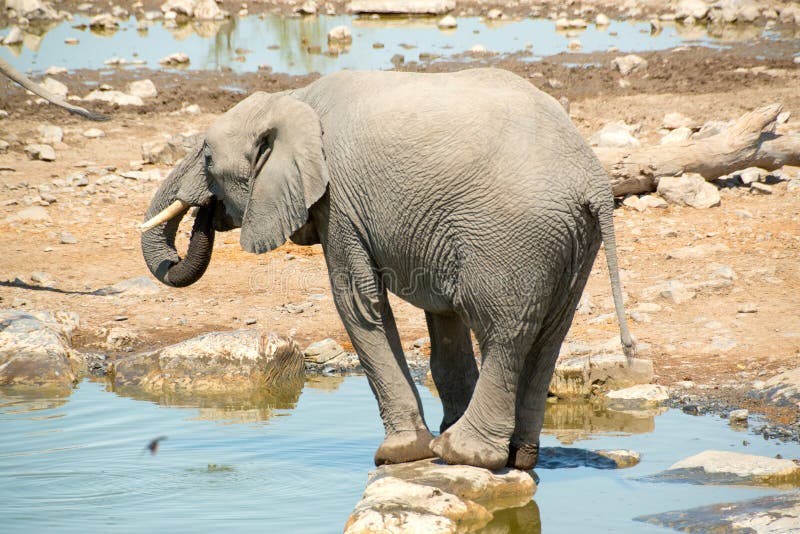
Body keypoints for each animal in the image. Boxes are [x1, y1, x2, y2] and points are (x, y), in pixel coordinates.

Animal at [140, 68, 636, 471]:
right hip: (572, 240)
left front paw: (399, 455)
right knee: (549, 333)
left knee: (505, 332)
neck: (294, 99)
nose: (204, 213)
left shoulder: (339, 202)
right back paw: (520, 458)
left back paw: (465, 455)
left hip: (512, 234)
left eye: (207, 159)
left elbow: (356, 301)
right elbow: (443, 319)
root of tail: (592, 179)